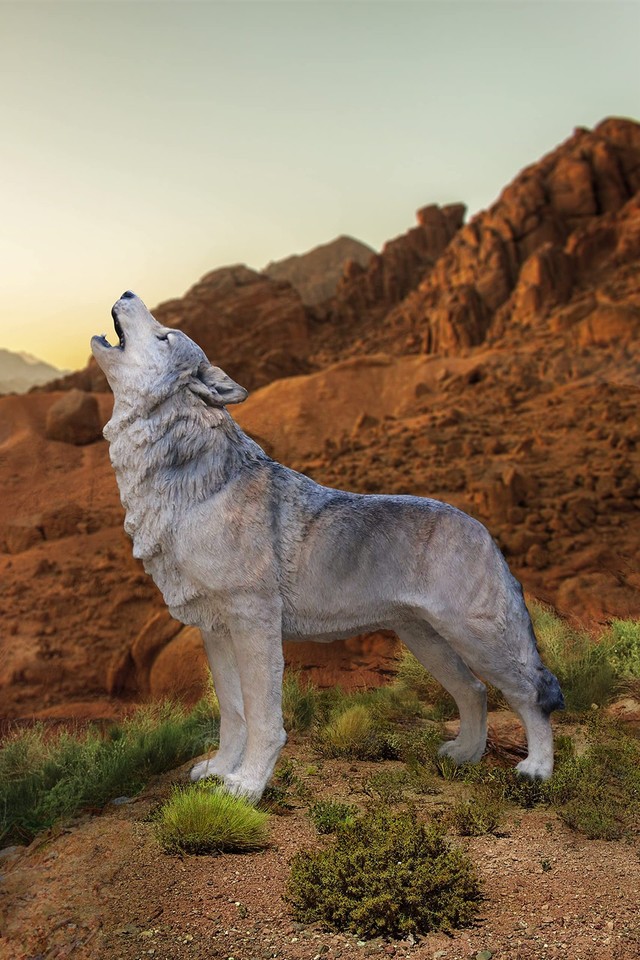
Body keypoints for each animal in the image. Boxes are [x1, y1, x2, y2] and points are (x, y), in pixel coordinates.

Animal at [92, 292, 564, 801]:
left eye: (165, 336)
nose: (127, 293)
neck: (195, 484)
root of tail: (483, 530)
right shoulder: (215, 631)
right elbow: (233, 715)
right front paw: (220, 770)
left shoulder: (254, 620)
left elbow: (262, 719)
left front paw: (247, 787)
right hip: (426, 642)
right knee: (474, 692)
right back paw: (464, 755)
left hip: (476, 640)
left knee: (530, 694)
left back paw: (537, 770)